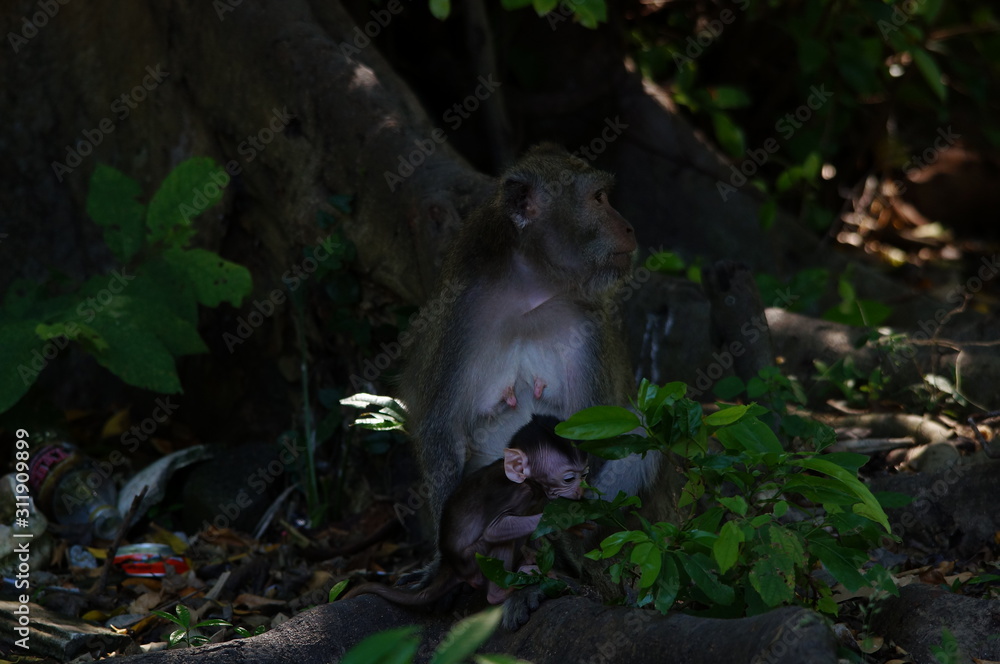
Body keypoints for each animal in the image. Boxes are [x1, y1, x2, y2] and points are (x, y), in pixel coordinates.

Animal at [344, 415, 588, 608]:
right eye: (568, 478)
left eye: (584, 475)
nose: (580, 491)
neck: (531, 485)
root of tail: (451, 567)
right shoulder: (519, 495)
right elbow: (495, 530)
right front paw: (569, 520)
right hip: (474, 562)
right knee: (501, 540)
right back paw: (500, 592)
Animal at [398, 144, 667, 625]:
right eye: (599, 198)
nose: (629, 226)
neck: (529, 293)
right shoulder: (458, 318)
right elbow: (439, 428)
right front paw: (439, 566)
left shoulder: (588, 323)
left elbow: (598, 434)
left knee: (638, 433)